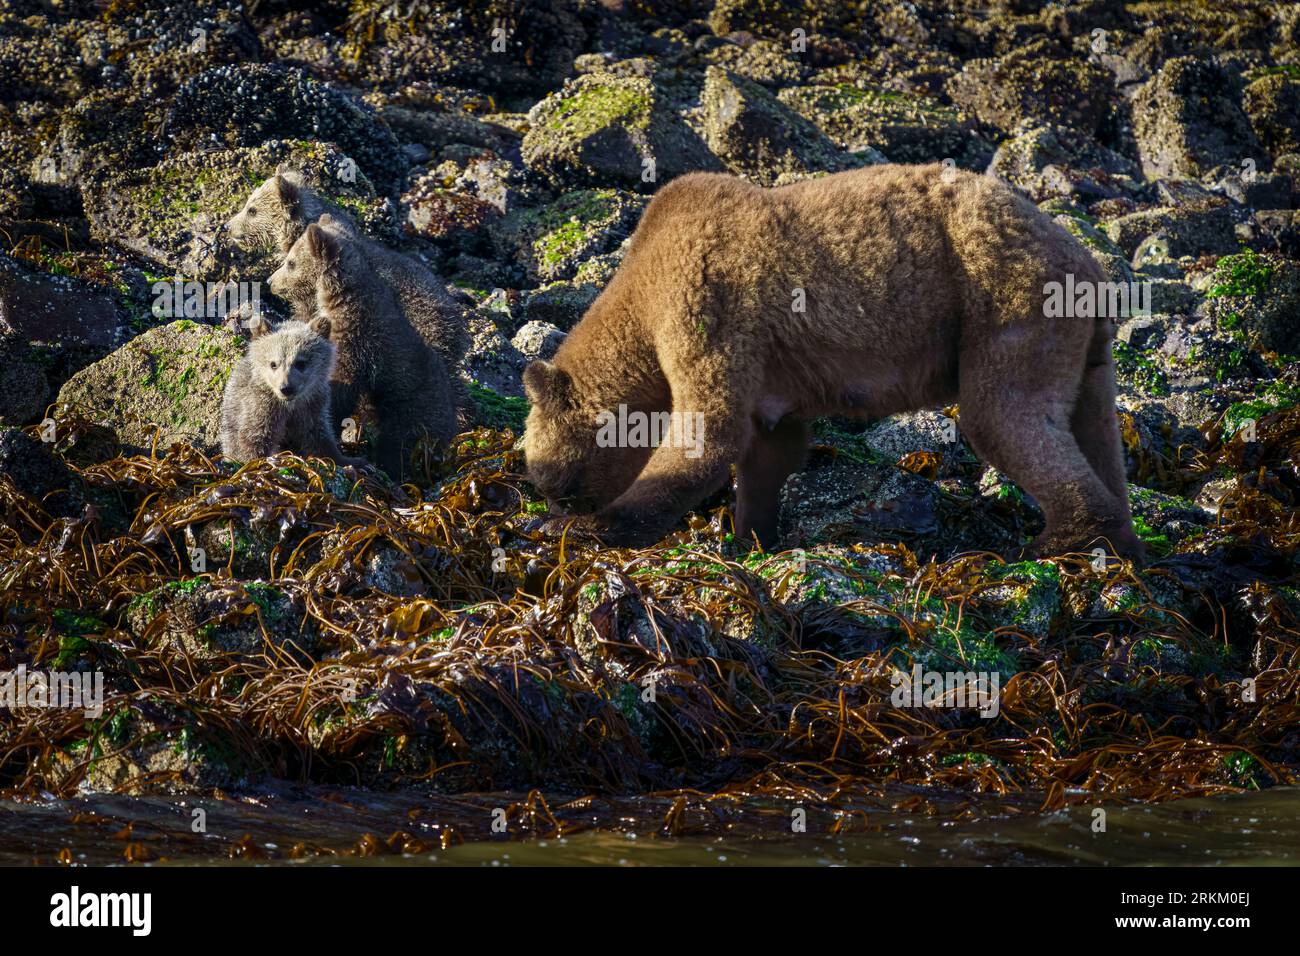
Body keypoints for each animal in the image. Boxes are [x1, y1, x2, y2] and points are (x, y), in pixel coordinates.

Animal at [219, 316, 359, 465]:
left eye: (301, 363)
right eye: (273, 364)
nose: (286, 388)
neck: (290, 405)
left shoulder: (311, 405)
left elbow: (318, 436)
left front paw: (351, 461)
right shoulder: (261, 404)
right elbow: (254, 437)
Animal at [269, 218, 459, 479]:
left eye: (291, 262)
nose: (270, 282)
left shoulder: (356, 343)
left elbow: (341, 387)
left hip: (411, 413)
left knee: (396, 446)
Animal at [522, 163, 1143, 560]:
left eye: (554, 479)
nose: (551, 502)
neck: (638, 307)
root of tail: (1091, 262)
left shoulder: (707, 303)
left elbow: (710, 432)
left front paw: (596, 527)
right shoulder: (772, 370)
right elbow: (770, 446)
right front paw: (749, 532)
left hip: (1003, 303)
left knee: (1003, 415)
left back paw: (1062, 539)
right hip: (1084, 348)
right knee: (1094, 427)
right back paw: (1124, 537)